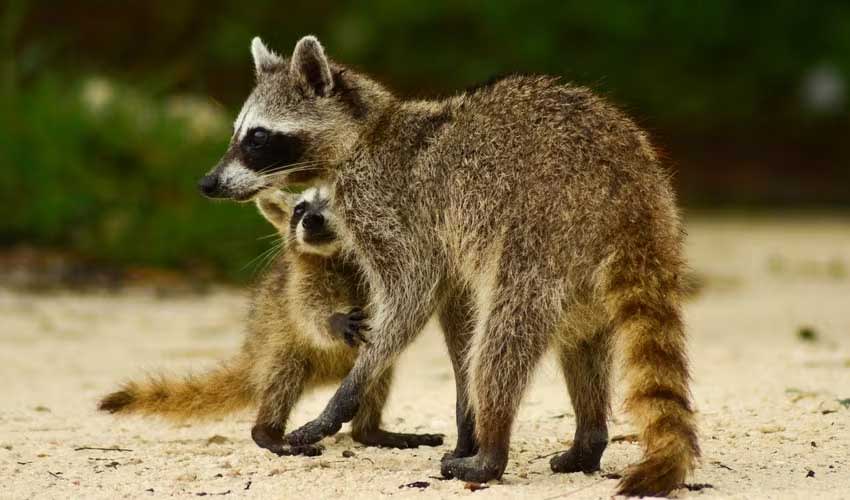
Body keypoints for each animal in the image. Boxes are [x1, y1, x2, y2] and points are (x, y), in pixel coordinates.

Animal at [98, 187, 443, 453]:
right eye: (299, 208)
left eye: (334, 202)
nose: (311, 219)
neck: (334, 257)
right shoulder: (297, 285)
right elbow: (309, 314)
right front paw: (334, 320)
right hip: (278, 348)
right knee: (282, 378)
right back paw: (268, 432)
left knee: (377, 375)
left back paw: (368, 430)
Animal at [199, 36, 698, 497]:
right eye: (238, 133)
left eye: (257, 137)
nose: (207, 183)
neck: (365, 134)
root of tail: (633, 202)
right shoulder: (451, 247)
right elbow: (455, 318)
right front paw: (465, 421)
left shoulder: (391, 206)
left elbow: (410, 295)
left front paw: (349, 392)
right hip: (584, 267)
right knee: (581, 344)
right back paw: (587, 439)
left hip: (541, 238)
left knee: (501, 341)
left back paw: (492, 452)